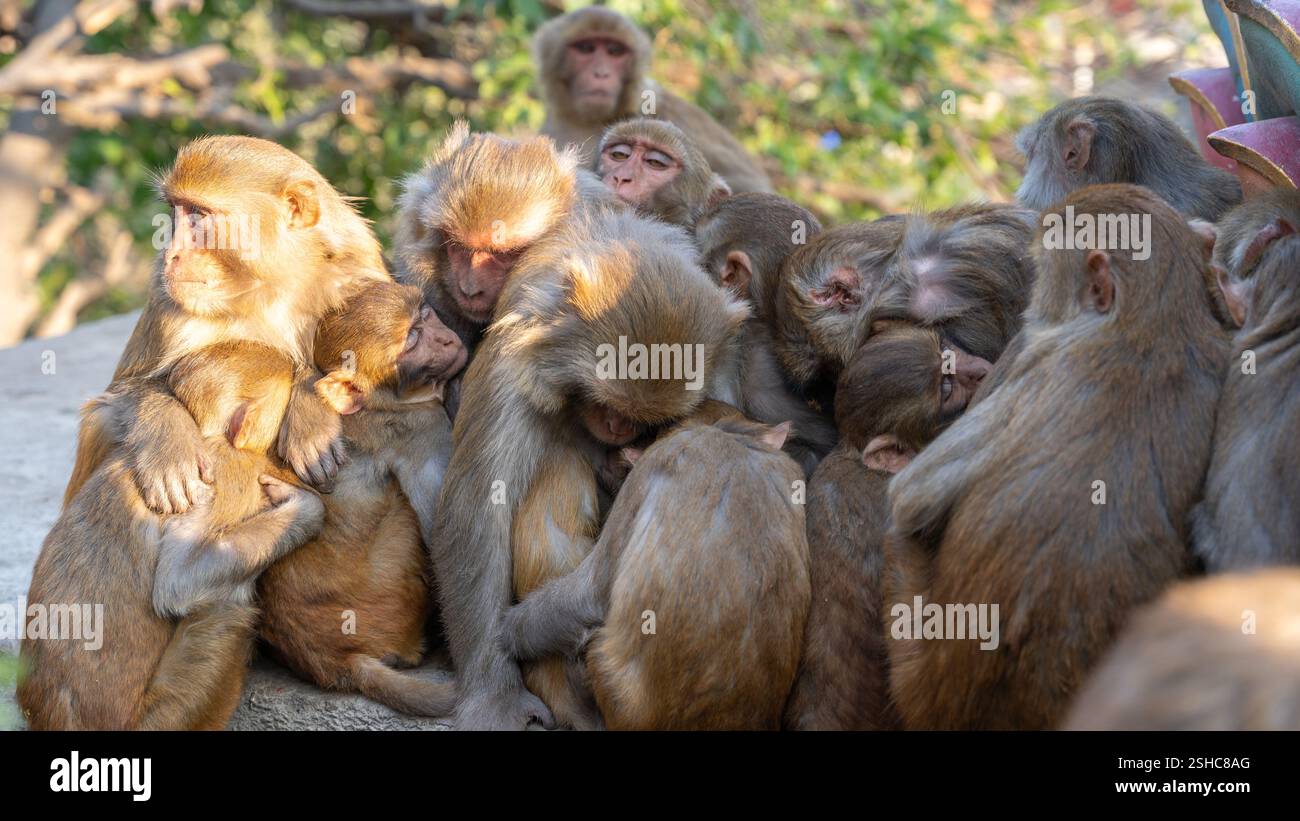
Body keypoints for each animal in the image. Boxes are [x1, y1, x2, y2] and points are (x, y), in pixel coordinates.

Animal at [18, 341, 324, 730]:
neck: (207, 437)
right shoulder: (231, 473)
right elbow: (178, 583)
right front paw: (306, 510)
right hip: (162, 715)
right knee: (225, 606)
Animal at [63, 136, 388, 514]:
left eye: (198, 215)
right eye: (175, 211)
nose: (169, 254)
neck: (268, 288)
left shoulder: (357, 272)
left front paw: (310, 419)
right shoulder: (164, 302)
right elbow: (117, 395)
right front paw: (167, 440)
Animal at [257, 280, 466, 717]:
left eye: (425, 314)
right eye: (412, 339)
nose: (446, 338)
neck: (379, 402)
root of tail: (334, 664)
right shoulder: (421, 428)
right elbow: (441, 526)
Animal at [429, 208, 749, 730]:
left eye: (648, 422)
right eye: (606, 402)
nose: (618, 427)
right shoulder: (514, 362)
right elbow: (476, 508)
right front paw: (494, 695)